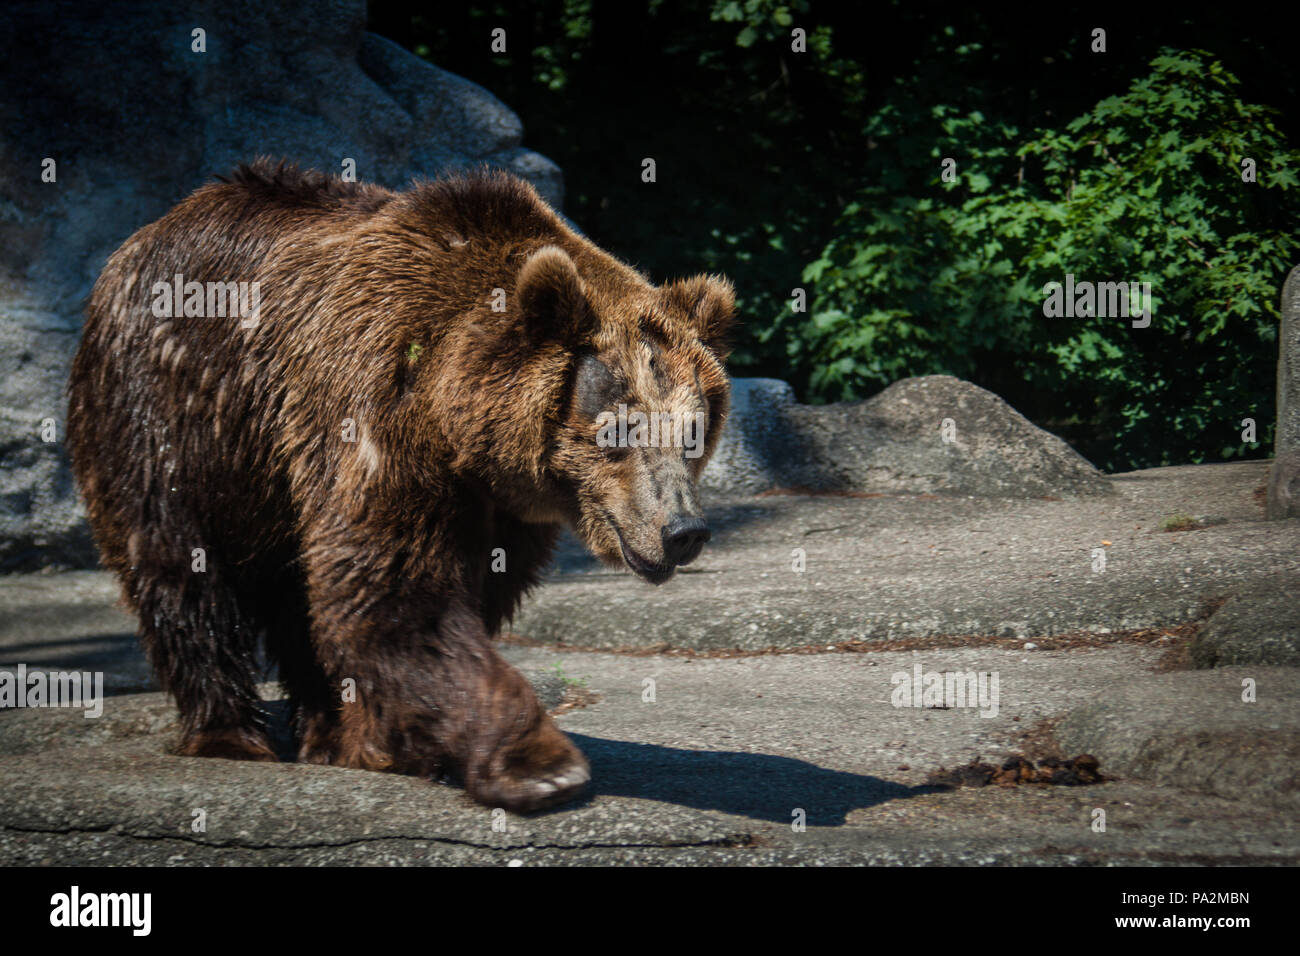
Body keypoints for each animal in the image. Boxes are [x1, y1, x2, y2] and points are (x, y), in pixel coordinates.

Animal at [66, 159, 734, 812]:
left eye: (692, 431)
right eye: (619, 430)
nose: (682, 531)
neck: (458, 423)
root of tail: (140, 239)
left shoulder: (499, 504)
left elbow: (458, 592)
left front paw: (391, 740)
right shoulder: (377, 409)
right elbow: (397, 591)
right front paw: (539, 766)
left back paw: (323, 731)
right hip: (173, 413)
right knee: (181, 568)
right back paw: (229, 734)